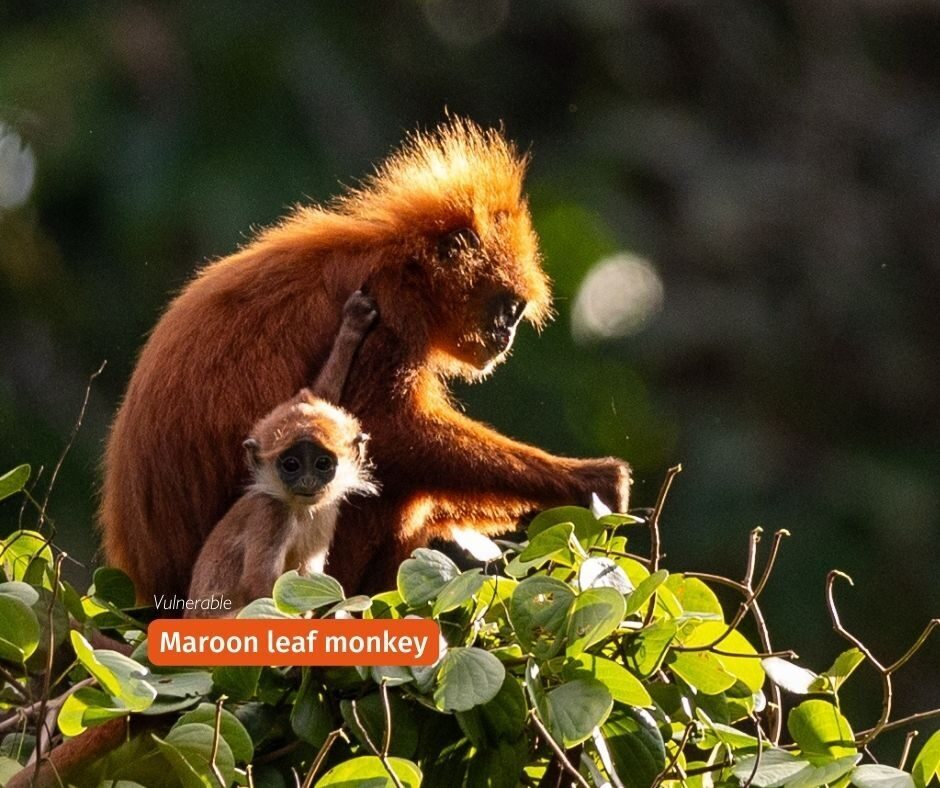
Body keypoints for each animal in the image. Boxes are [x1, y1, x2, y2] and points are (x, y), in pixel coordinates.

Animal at [185, 292, 378, 618]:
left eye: (322, 464)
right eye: (291, 465)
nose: (308, 481)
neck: (302, 510)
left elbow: (316, 393)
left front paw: (352, 328)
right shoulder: (271, 513)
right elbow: (261, 590)